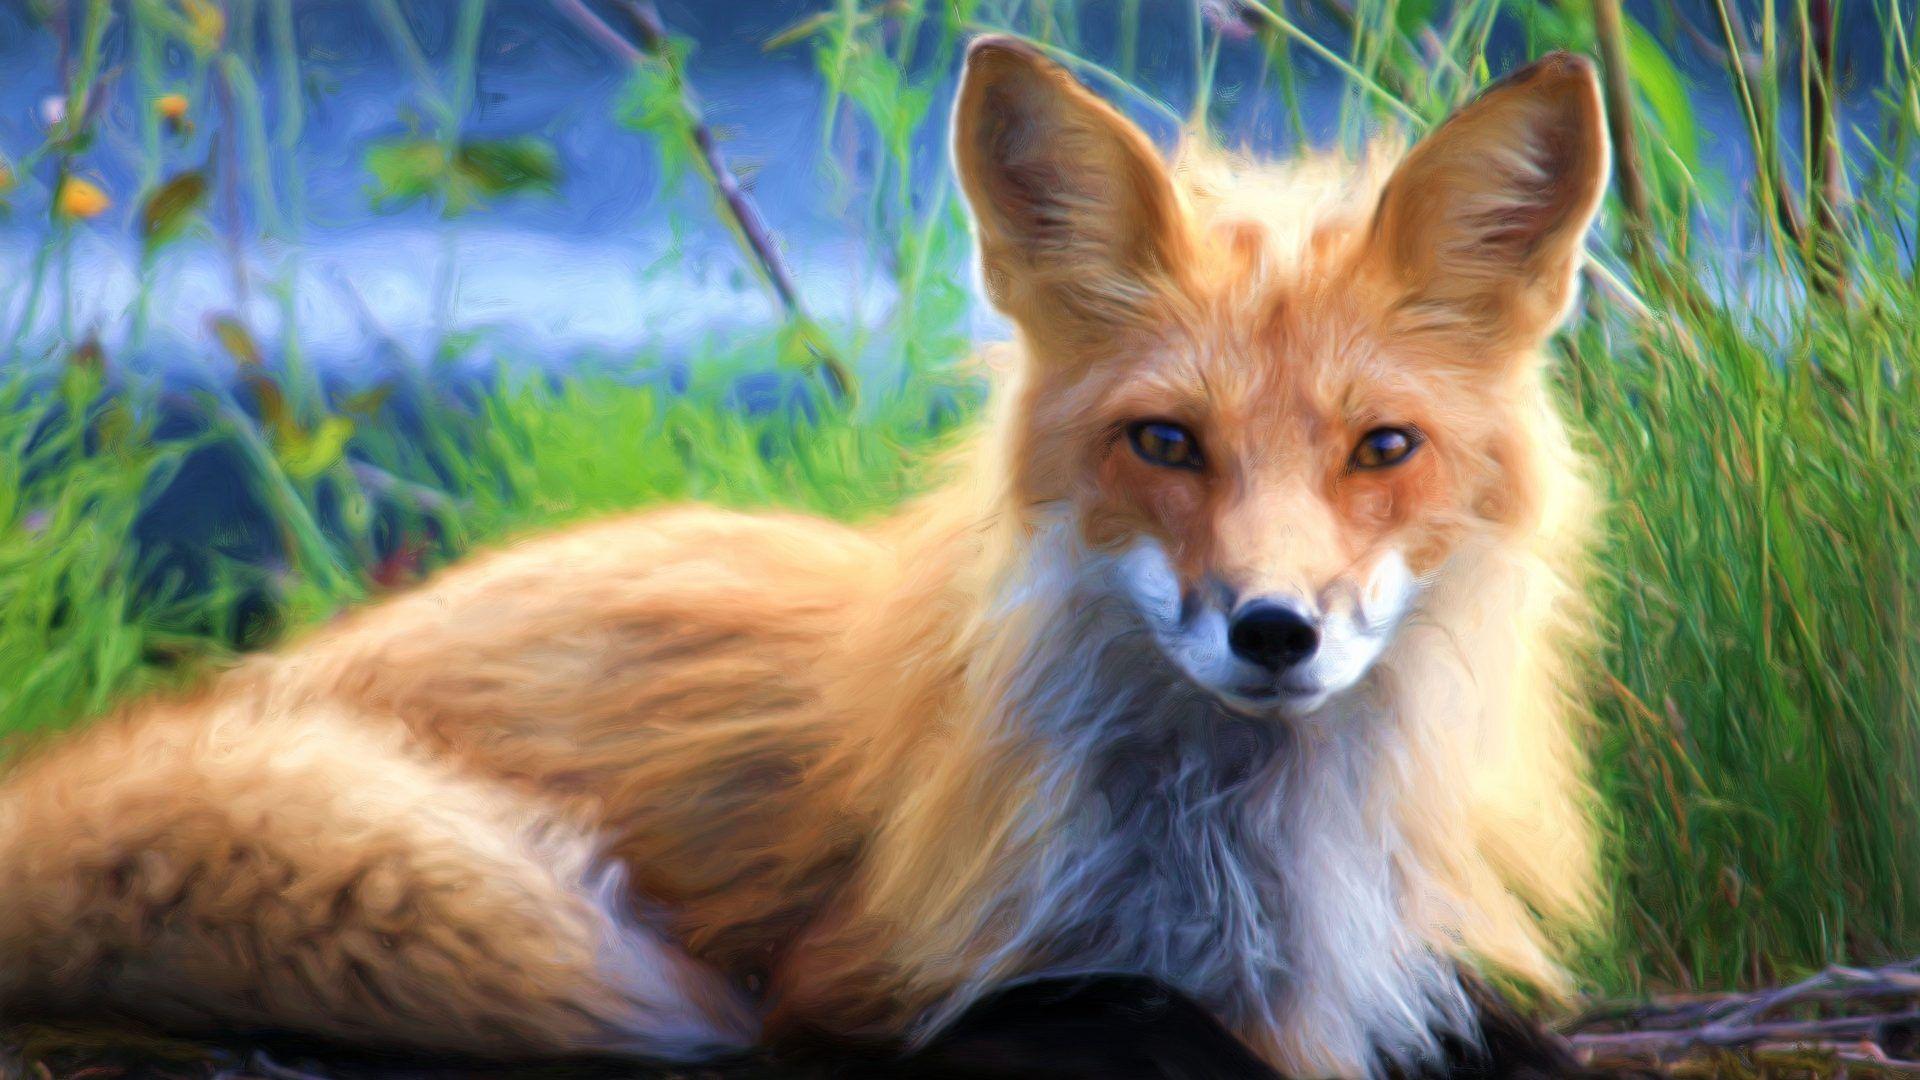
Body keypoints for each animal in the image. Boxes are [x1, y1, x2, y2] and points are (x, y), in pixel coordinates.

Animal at [0, 38, 1613, 1080]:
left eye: (1383, 449)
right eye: (1165, 443)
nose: (1275, 631)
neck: (1244, 870)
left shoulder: (1414, 978)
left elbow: (1500, 1038)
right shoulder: (858, 990)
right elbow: (1140, 1016)